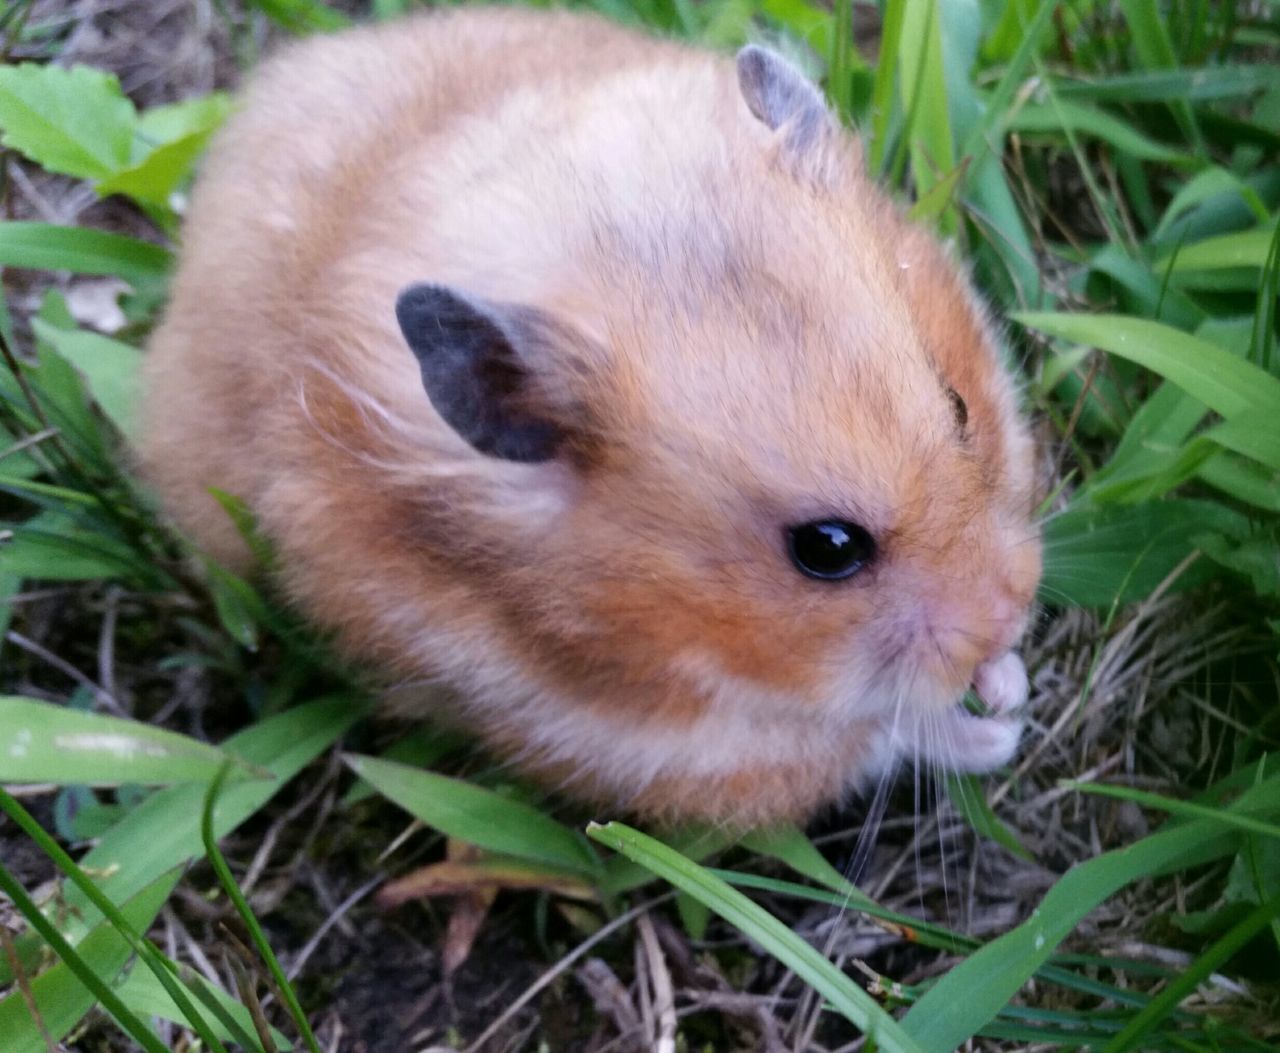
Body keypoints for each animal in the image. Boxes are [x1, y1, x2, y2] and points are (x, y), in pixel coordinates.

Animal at [140, 7, 1042, 826]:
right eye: (827, 549)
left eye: (960, 407)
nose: (1011, 614)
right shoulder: (613, 733)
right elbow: (868, 738)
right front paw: (1000, 725)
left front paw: (1007, 683)